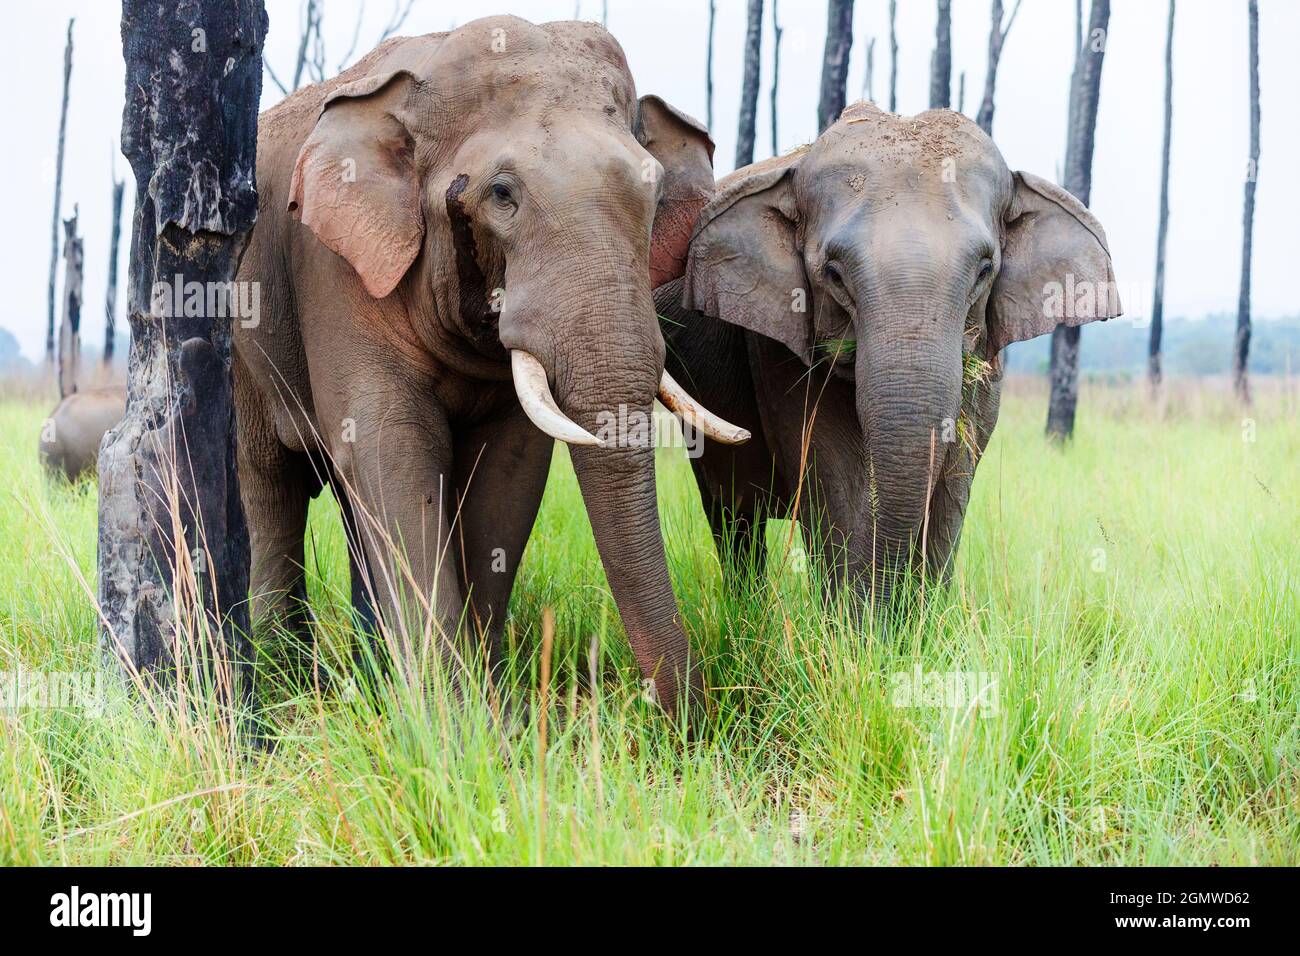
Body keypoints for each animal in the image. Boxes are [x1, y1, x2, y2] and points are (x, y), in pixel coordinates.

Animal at [233, 16, 742, 713]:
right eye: (501, 194)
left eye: (656, 190)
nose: (660, 715)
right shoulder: (336, 272)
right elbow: (394, 446)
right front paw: (448, 718)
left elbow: (510, 466)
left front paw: (490, 704)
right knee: (270, 487)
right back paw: (282, 682)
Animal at [657, 101, 1120, 609]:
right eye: (834, 273)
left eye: (984, 270)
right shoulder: (776, 342)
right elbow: (829, 466)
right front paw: (856, 624)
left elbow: (956, 474)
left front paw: (918, 620)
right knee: (733, 514)